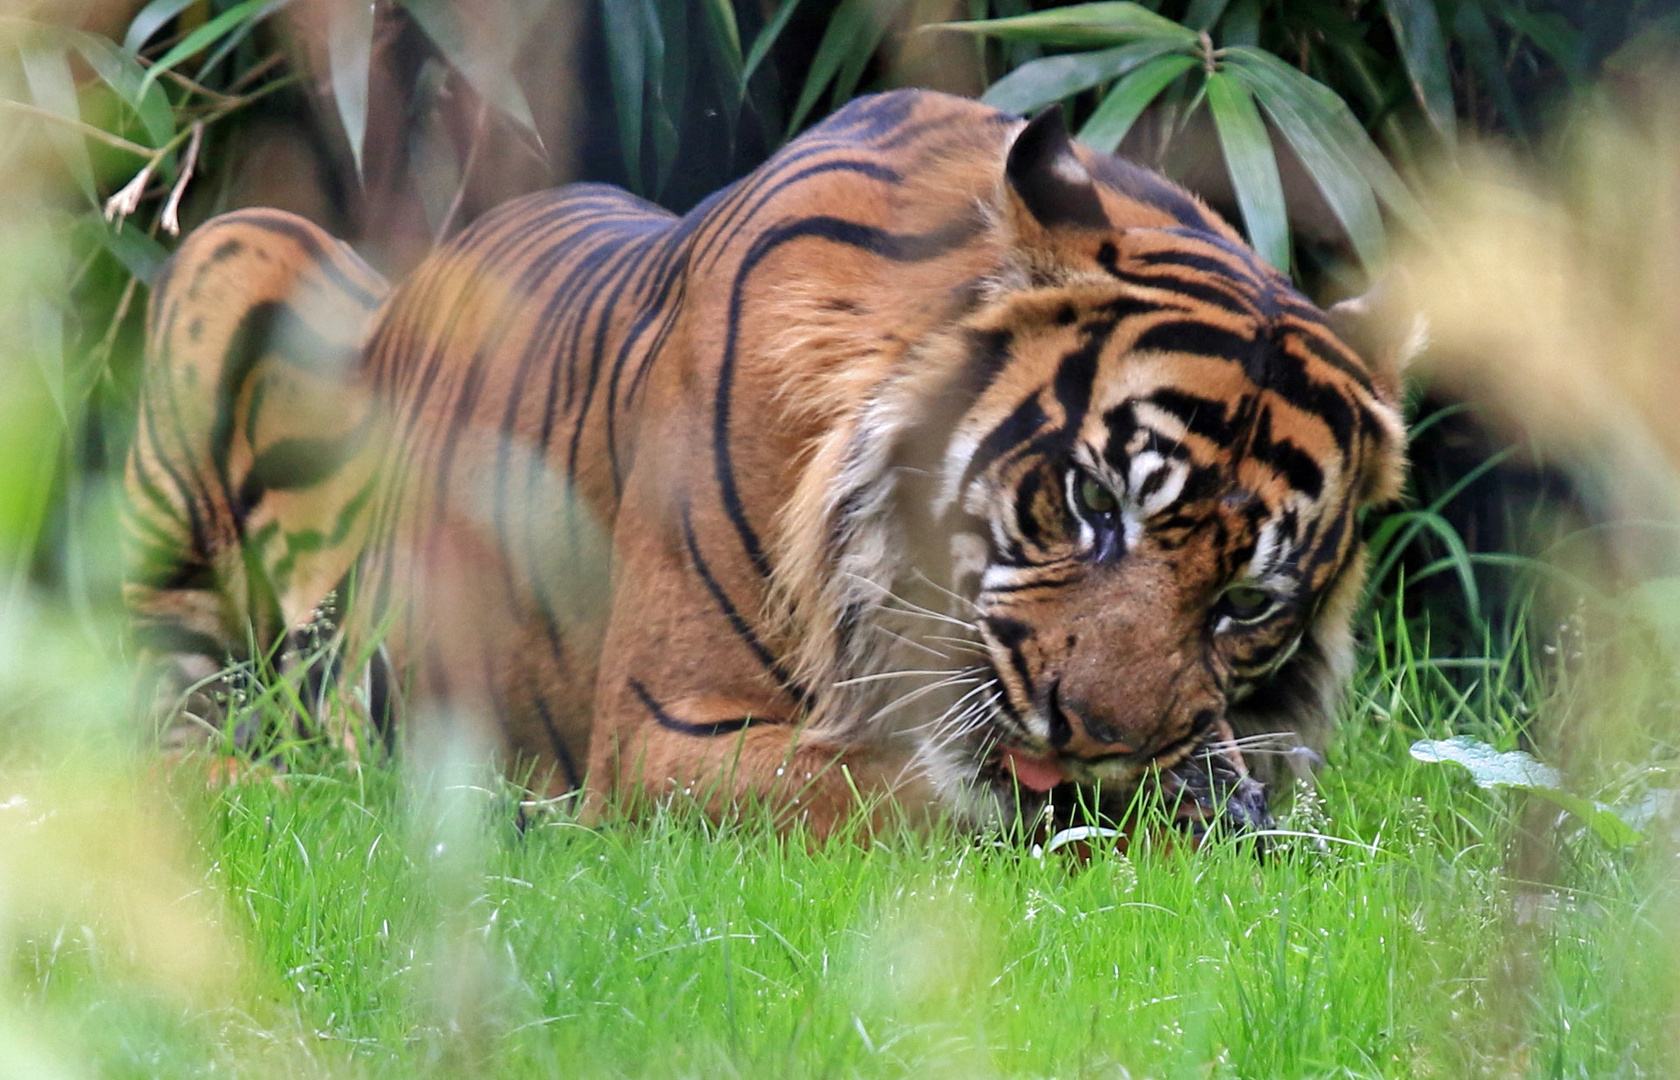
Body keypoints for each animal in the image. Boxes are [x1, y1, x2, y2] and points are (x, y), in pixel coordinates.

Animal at [124, 89, 1410, 838]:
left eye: (1249, 602)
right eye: (1094, 502)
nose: (1099, 745)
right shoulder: (669, 736)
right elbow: (903, 788)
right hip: (234, 244)